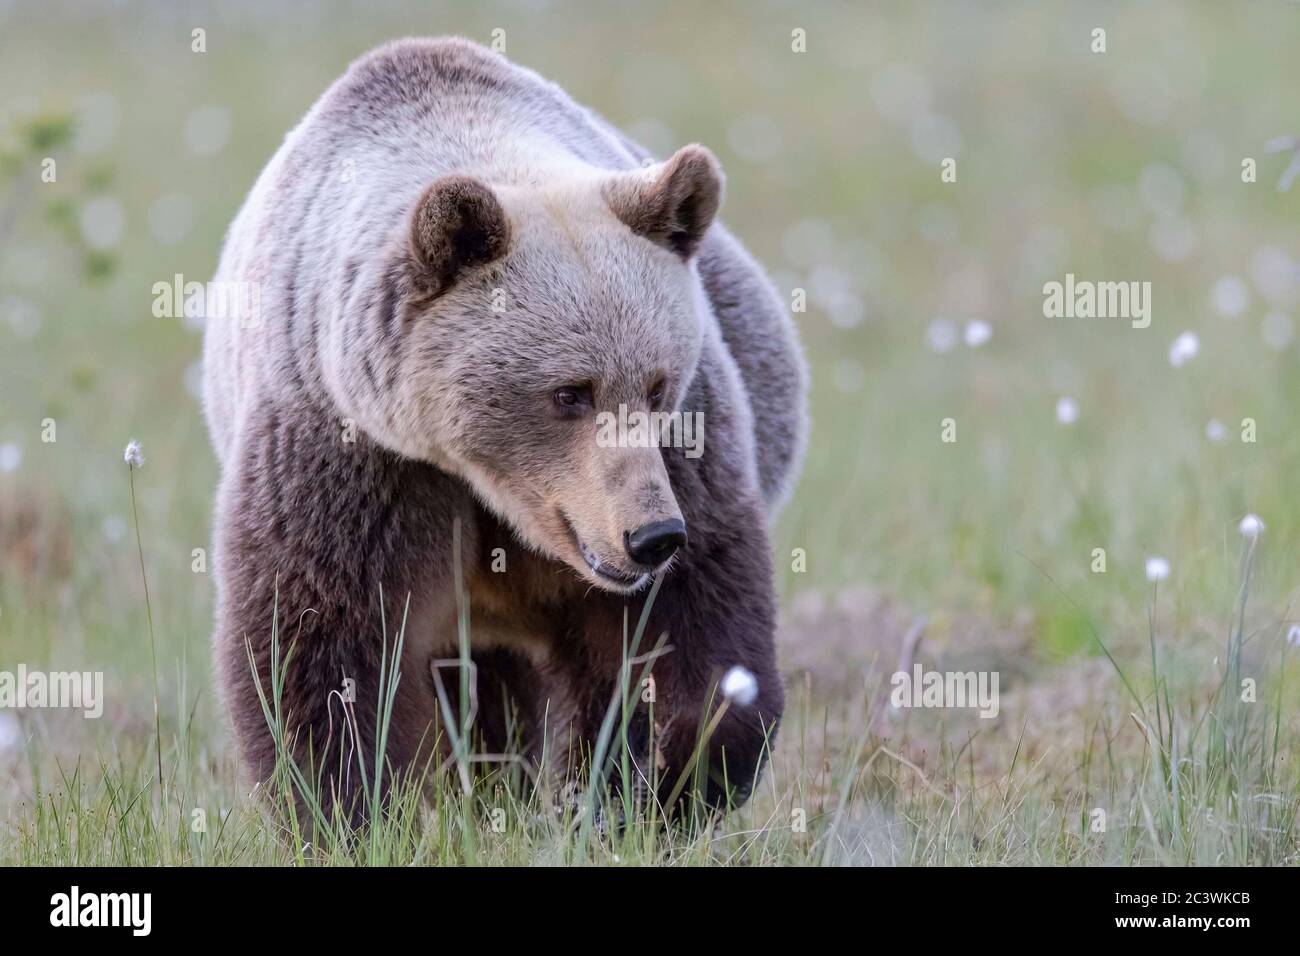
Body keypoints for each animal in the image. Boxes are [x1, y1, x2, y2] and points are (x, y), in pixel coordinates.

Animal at [202, 37, 807, 827]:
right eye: (568, 393)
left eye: (656, 384)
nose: (649, 536)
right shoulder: (350, 448)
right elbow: (321, 636)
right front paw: (350, 809)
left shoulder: (685, 453)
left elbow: (691, 619)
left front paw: (673, 781)